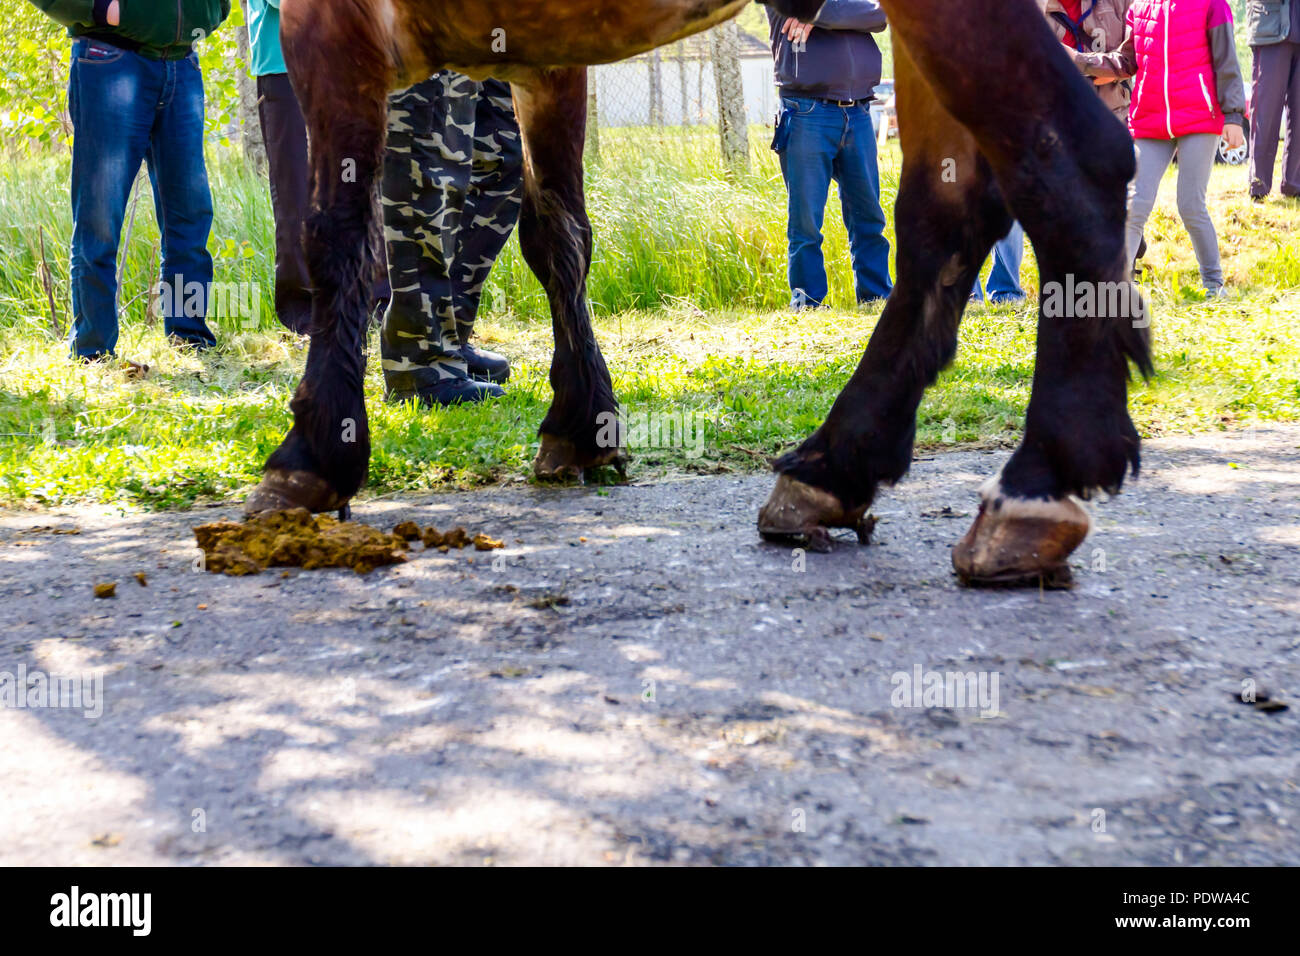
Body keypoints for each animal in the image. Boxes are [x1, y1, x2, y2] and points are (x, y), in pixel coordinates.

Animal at [247, 0, 1150, 588]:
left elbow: (338, 235)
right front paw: (584, 418)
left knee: (1066, 156)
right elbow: (557, 234)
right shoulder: (542, 56)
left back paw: (1039, 479)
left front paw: (315, 452)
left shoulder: (332, 24)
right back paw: (836, 464)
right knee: (947, 214)